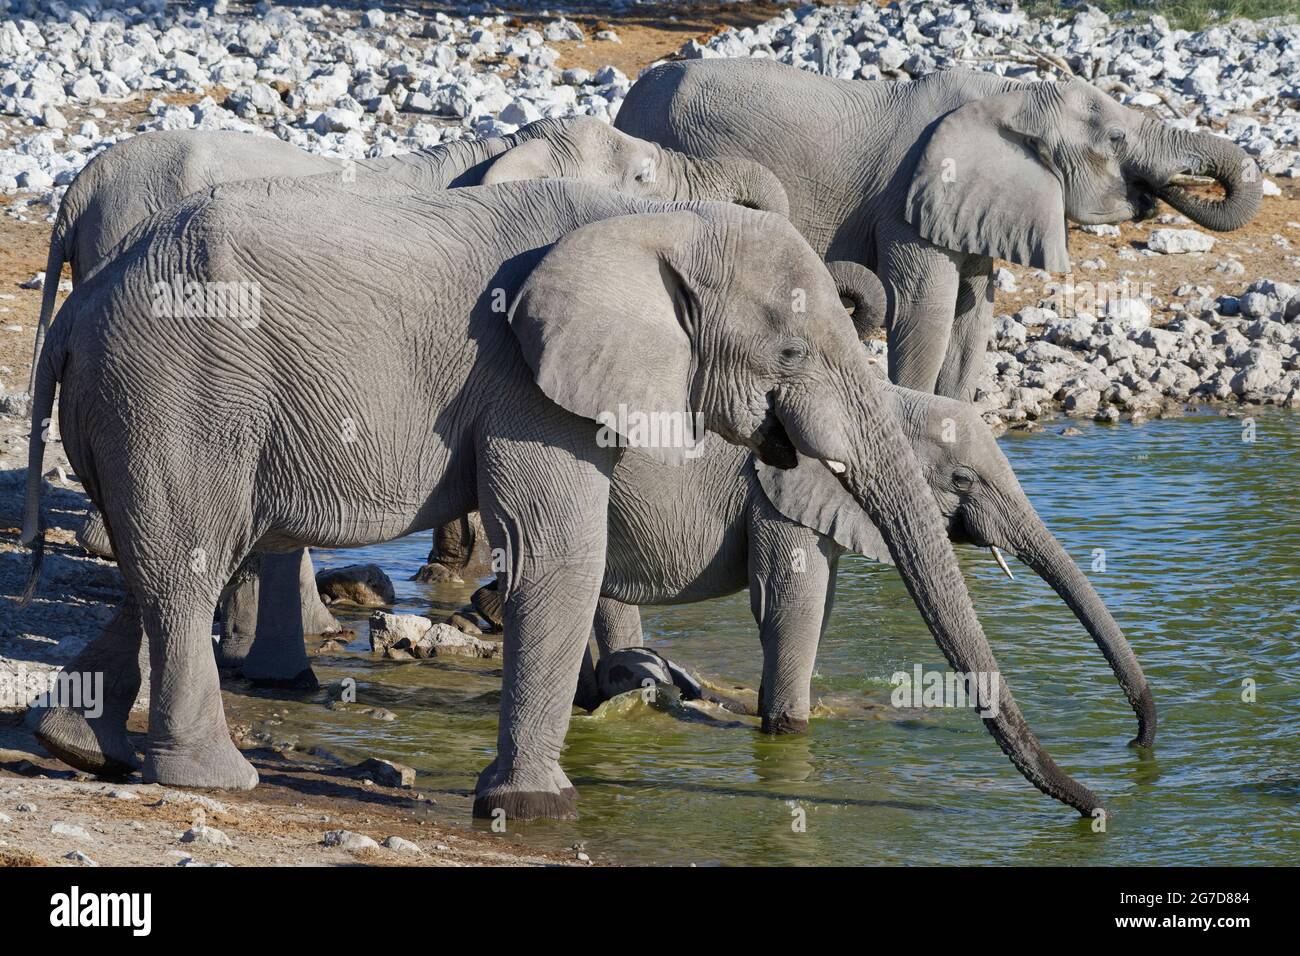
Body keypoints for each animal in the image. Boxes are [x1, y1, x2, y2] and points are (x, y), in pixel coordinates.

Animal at [21, 176, 1105, 820]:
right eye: (793, 353)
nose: (1100, 807)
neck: (663, 222)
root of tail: (74, 312)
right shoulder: (519, 379)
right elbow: (560, 551)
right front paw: (536, 808)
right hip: (176, 389)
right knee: (189, 565)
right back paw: (211, 778)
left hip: (149, 405)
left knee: (170, 564)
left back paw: (81, 747)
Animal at [614, 58, 1262, 401]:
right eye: (1117, 139)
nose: (1165, 190)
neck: (1013, 95)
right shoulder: (907, 201)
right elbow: (926, 311)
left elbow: (973, 317)